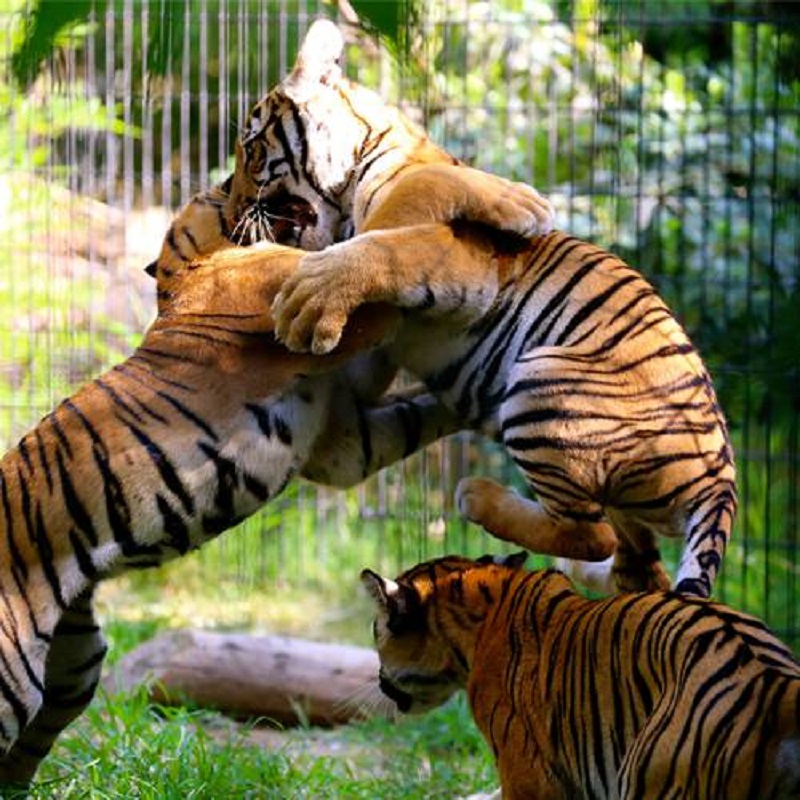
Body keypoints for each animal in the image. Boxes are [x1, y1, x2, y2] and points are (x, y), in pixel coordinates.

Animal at [0, 137, 552, 785]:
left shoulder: (344, 440)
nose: (235, 185)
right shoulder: (331, 314)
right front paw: (517, 201)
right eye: (222, 190)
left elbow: (421, 409)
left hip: (75, 661)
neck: (189, 268)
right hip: (12, 678)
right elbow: (404, 214)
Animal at [227, 18, 737, 598]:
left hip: (543, 379)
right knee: (635, 566)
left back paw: (478, 496)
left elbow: (393, 228)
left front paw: (306, 300)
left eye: (251, 148)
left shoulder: (459, 261)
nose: (233, 209)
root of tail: (720, 483)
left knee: (589, 533)